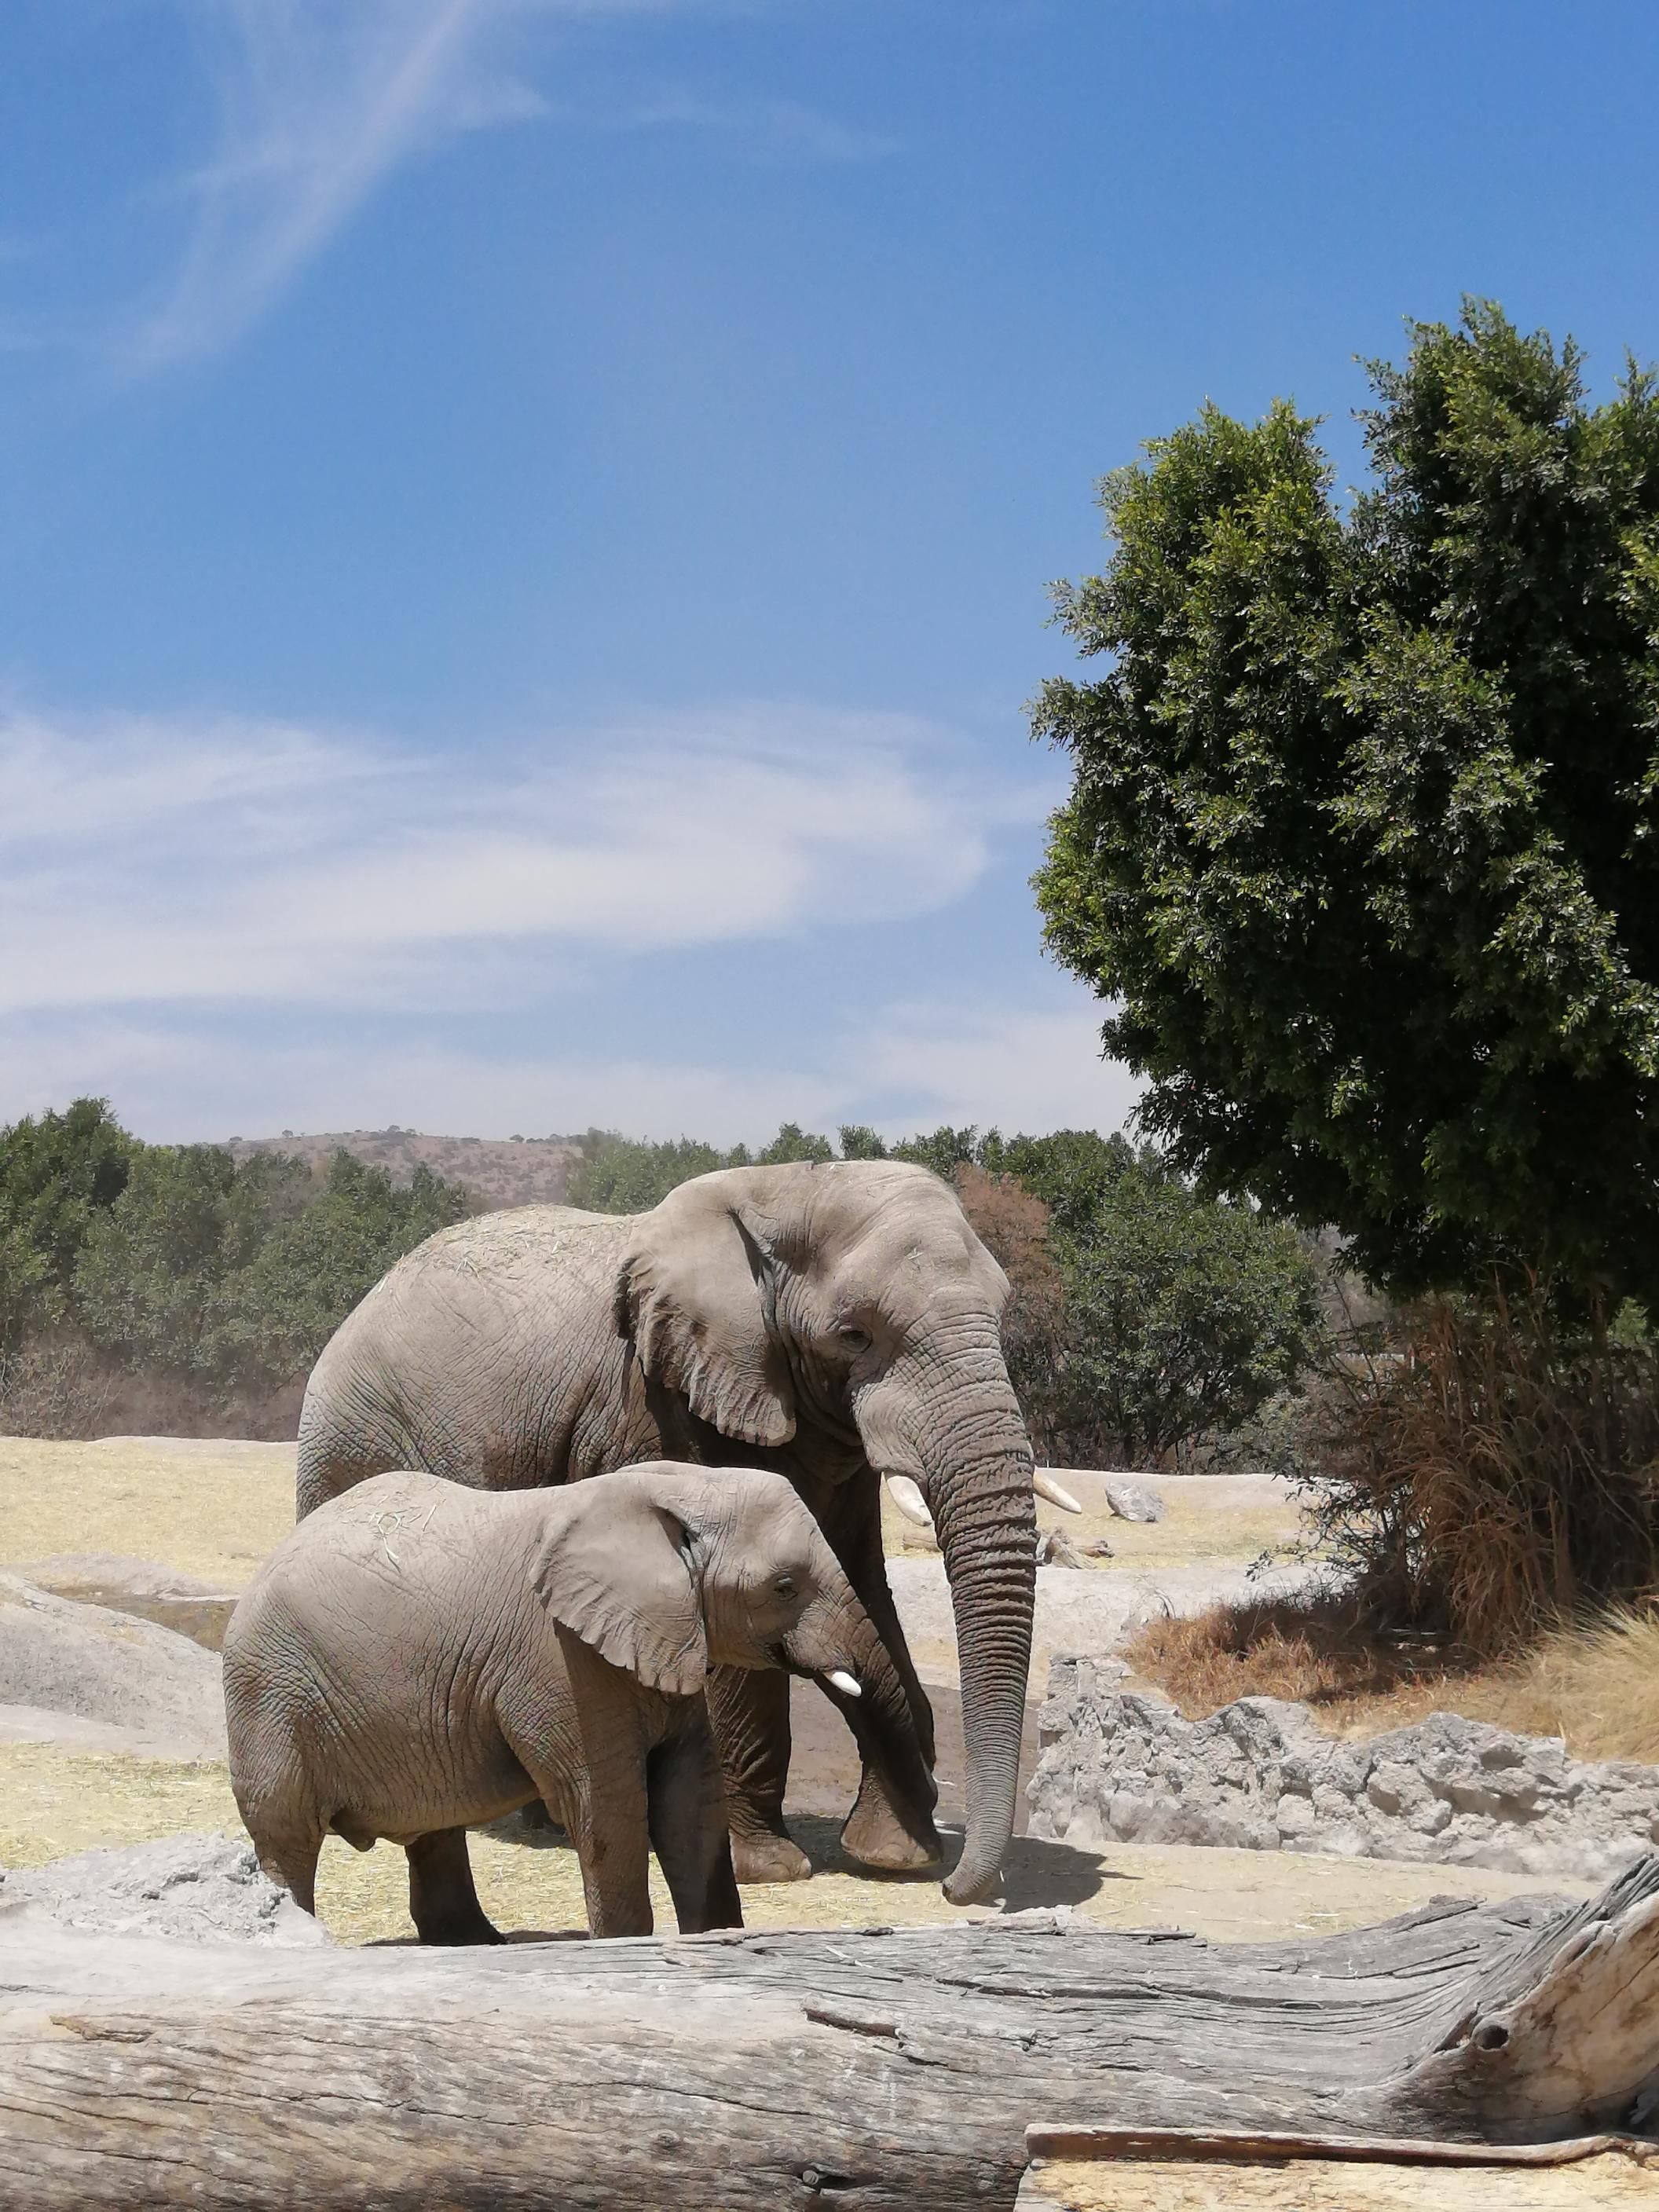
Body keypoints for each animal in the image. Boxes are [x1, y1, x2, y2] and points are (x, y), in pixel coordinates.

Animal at [223, 1461, 889, 1941]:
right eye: (785, 1587)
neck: (669, 1486)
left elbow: (690, 1802)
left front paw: (720, 1942)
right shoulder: (558, 1656)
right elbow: (609, 1808)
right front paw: (623, 1948)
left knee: (435, 1826)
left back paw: (477, 1945)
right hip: (271, 1692)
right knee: (287, 1832)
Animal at [296, 1160, 1068, 1905]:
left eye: (1001, 1312)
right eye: (854, 1334)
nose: (960, 1888)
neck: (788, 1187)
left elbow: (862, 1586)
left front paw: (894, 1857)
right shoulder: (657, 1405)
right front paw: (774, 1869)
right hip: (353, 1447)